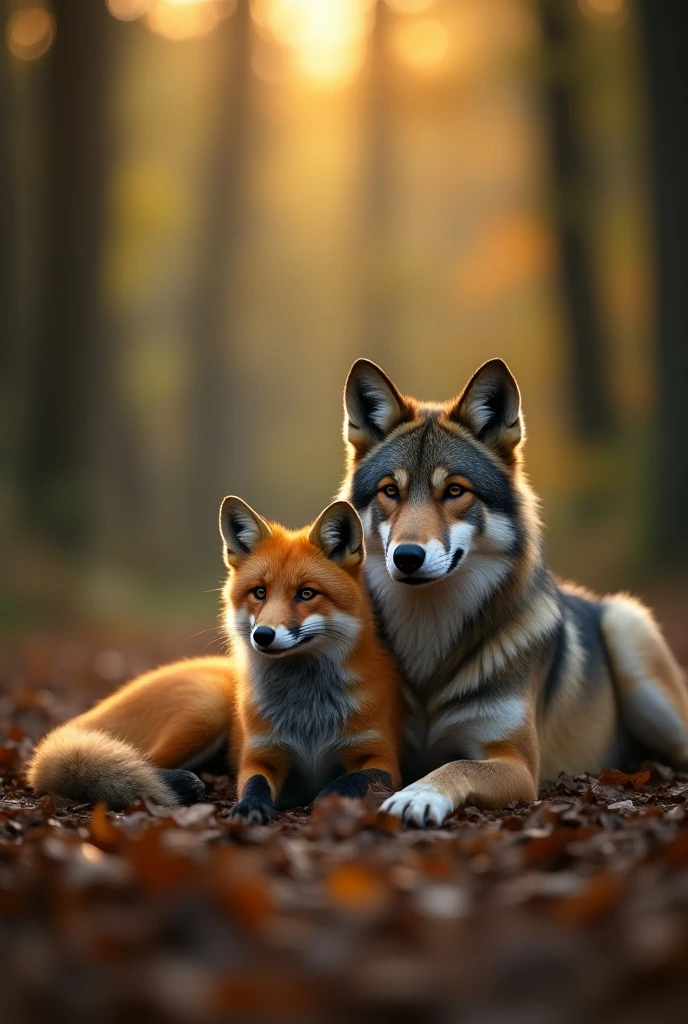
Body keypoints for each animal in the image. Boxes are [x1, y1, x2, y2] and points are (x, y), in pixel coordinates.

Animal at [27, 498, 402, 822]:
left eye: (306, 594)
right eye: (259, 592)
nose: (263, 635)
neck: (308, 717)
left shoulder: (382, 756)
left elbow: (353, 781)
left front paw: (330, 797)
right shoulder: (259, 756)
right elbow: (253, 785)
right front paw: (250, 808)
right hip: (205, 709)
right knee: (135, 761)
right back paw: (179, 783)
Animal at [339, 357, 688, 826]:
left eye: (455, 490)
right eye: (390, 491)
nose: (407, 557)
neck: (430, 635)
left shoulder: (518, 764)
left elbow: (456, 765)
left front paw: (418, 795)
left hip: (631, 638)